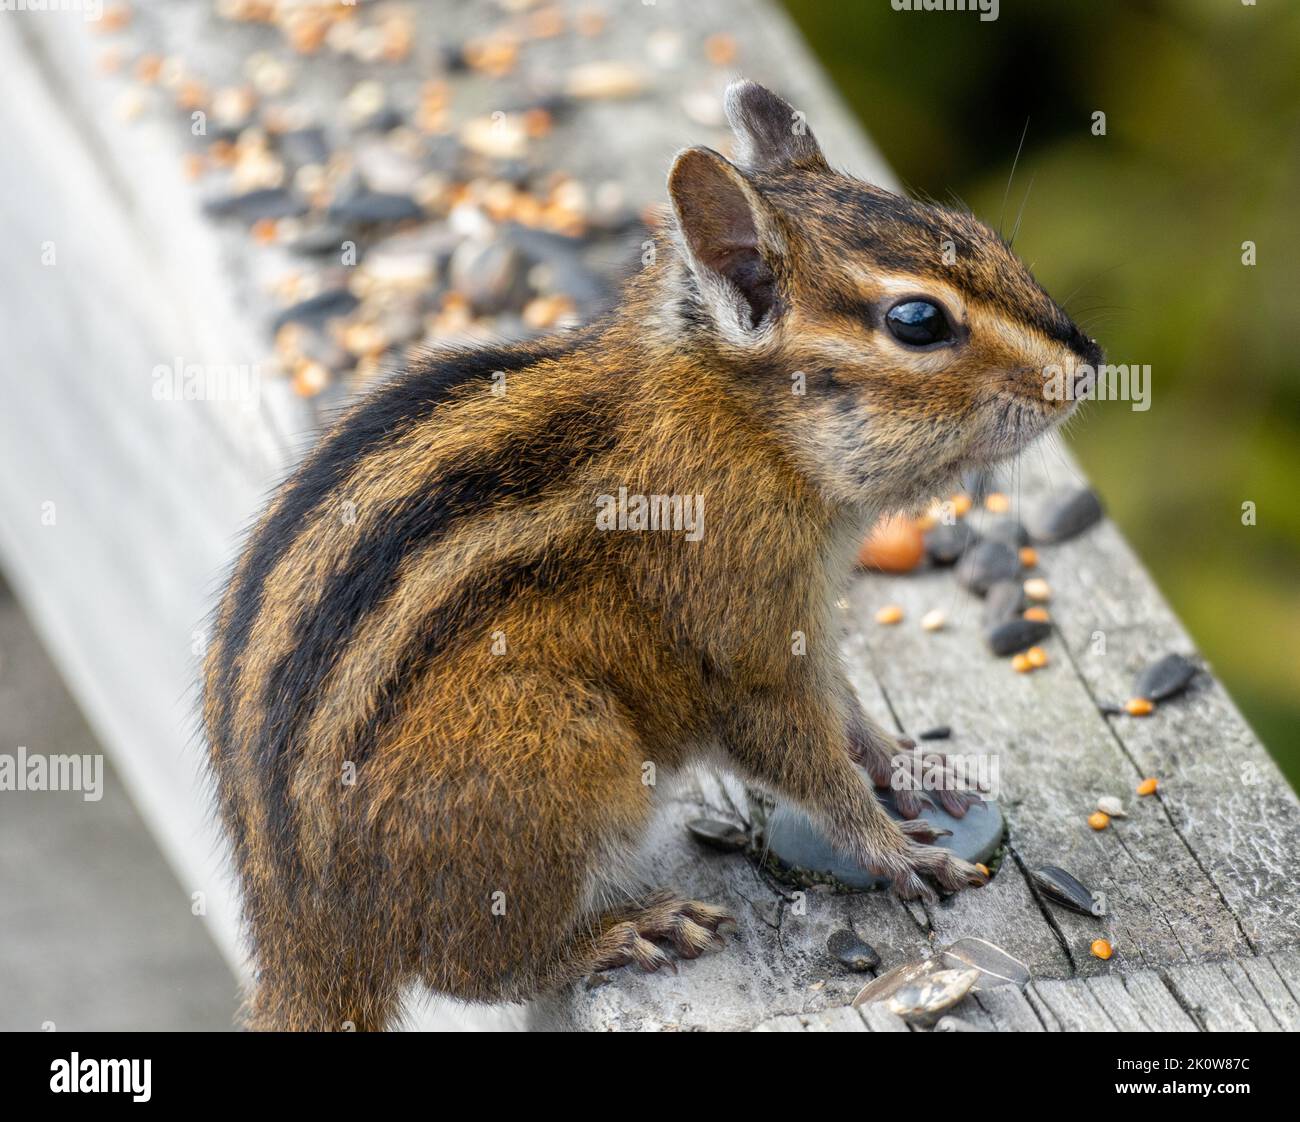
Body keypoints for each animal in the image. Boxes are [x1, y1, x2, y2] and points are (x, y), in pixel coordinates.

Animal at [203, 81, 1102, 1031]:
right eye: (918, 321)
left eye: (984, 237)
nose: (1088, 366)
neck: (738, 418)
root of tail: (304, 937)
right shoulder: (744, 646)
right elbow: (806, 757)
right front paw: (895, 849)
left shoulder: (804, 621)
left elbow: (849, 712)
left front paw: (912, 763)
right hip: (554, 750)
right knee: (477, 967)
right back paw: (620, 933)